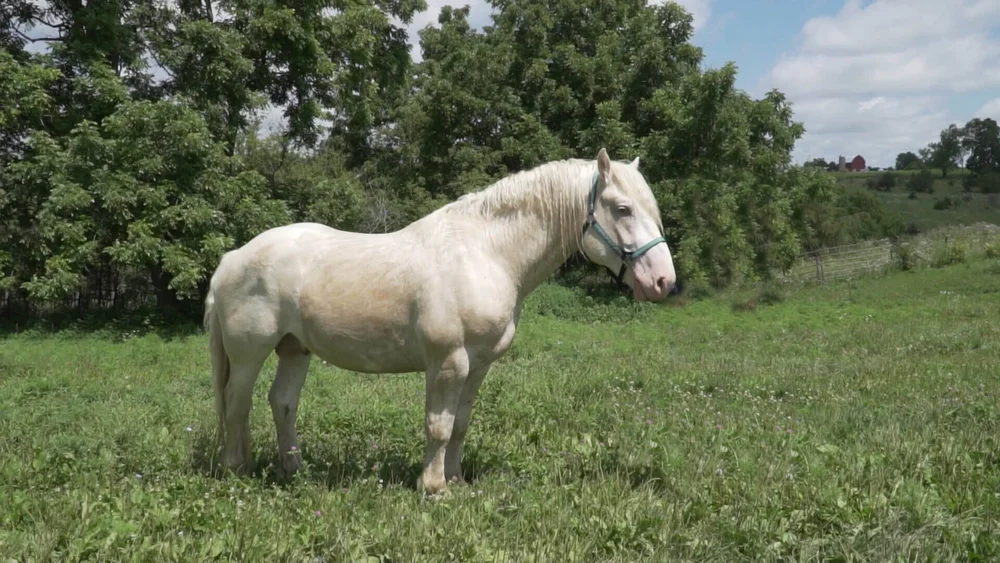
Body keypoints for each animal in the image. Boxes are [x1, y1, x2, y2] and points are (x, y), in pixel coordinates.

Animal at [202, 148, 677, 496]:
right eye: (622, 208)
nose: (663, 282)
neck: (487, 253)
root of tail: (232, 258)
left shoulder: (478, 365)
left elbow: (460, 425)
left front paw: (455, 479)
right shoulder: (449, 362)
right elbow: (439, 424)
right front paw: (432, 487)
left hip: (294, 349)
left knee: (281, 403)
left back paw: (293, 469)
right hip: (248, 354)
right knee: (236, 404)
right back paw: (236, 469)